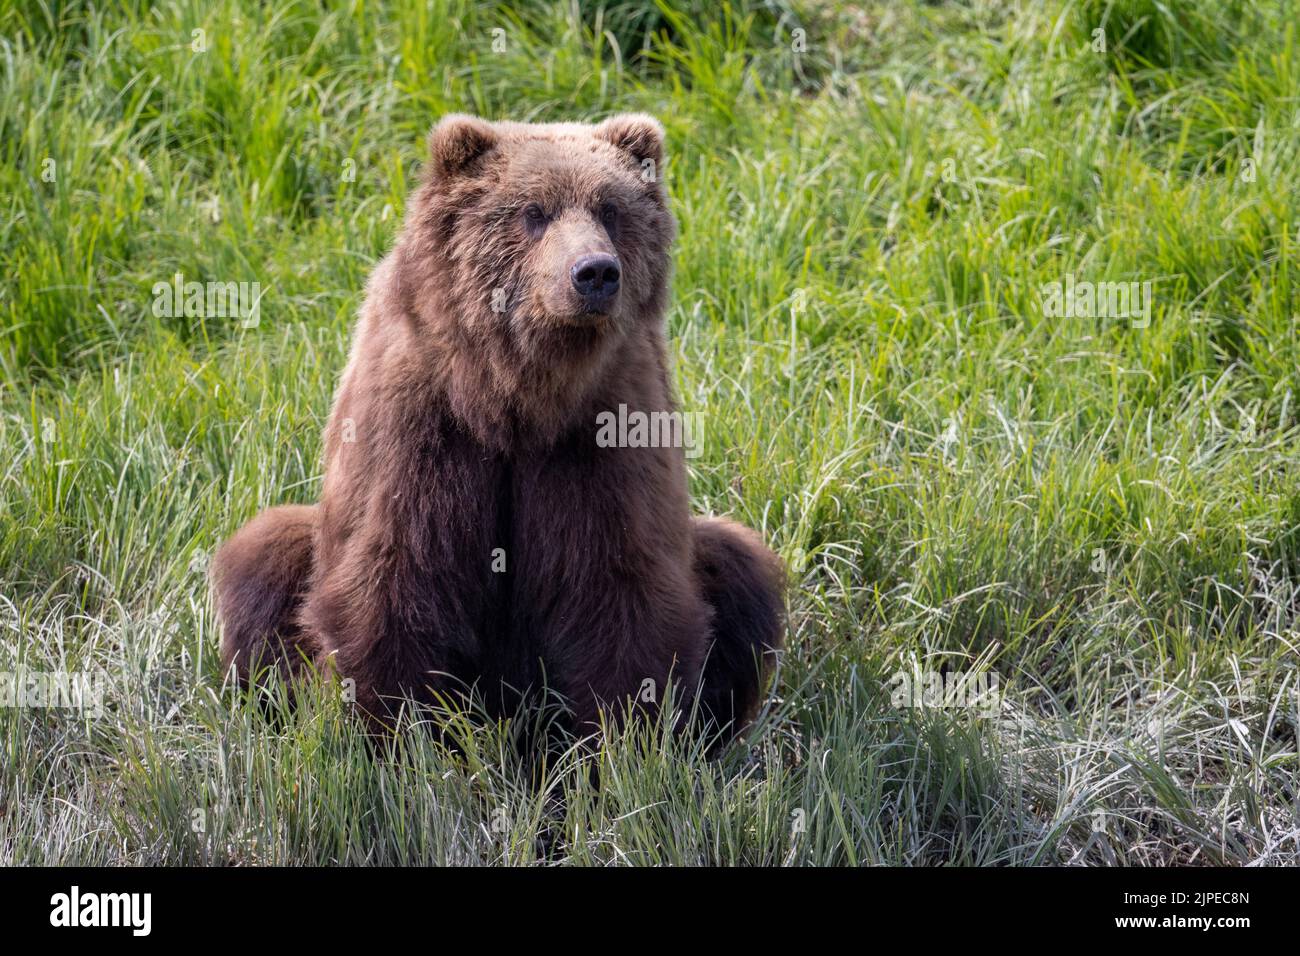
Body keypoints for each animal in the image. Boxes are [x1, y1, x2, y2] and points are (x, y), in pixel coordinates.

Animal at [211, 114, 785, 747]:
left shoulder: (607, 423)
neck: (515, 394)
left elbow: (621, 580)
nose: (594, 273)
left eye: (610, 208)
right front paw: (393, 738)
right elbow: (396, 572)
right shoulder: (421, 419)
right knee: (266, 556)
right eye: (533, 211)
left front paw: (619, 745)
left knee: (739, 568)